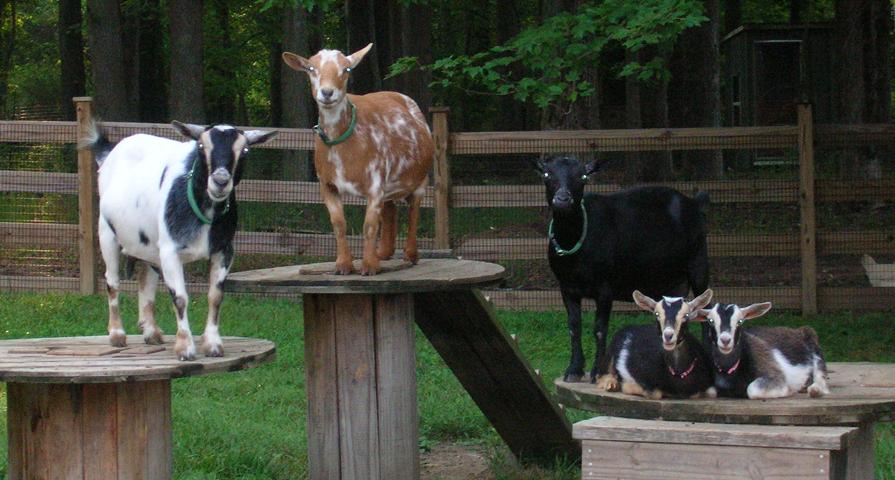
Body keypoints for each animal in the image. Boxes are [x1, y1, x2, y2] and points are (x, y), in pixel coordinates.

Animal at [82, 121, 276, 360]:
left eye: (246, 150)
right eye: (201, 145)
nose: (220, 181)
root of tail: (109, 151)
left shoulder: (224, 250)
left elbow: (216, 295)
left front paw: (213, 345)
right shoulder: (170, 250)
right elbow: (181, 297)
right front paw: (185, 348)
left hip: (148, 245)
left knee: (146, 280)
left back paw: (152, 332)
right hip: (106, 233)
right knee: (112, 281)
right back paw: (117, 335)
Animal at [282, 44, 434, 275]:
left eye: (346, 69)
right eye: (310, 68)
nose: (327, 92)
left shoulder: (376, 182)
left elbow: (369, 225)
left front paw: (369, 266)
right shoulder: (327, 184)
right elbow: (338, 223)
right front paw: (343, 265)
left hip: (421, 178)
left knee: (414, 210)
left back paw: (410, 255)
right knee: (390, 208)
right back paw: (384, 253)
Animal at [535, 155, 710, 382]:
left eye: (583, 177)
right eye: (547, 175)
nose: (563, 199)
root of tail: (694, 202)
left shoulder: (604, 288)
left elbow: (600, 329)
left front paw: (597, 371)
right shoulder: (566, 287)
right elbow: (574, 326)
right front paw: (573, 369)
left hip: (699, 262)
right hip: (672, 280)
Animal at [695, 302, 830, 399]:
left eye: (740, 321)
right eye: (710, 321)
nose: (725, 340)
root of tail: (797, 330)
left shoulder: (775, 375)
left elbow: (752, 390)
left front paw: (789, 391)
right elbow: (710, 391)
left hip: (814, 347)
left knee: (820, 373)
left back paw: (815, 390)